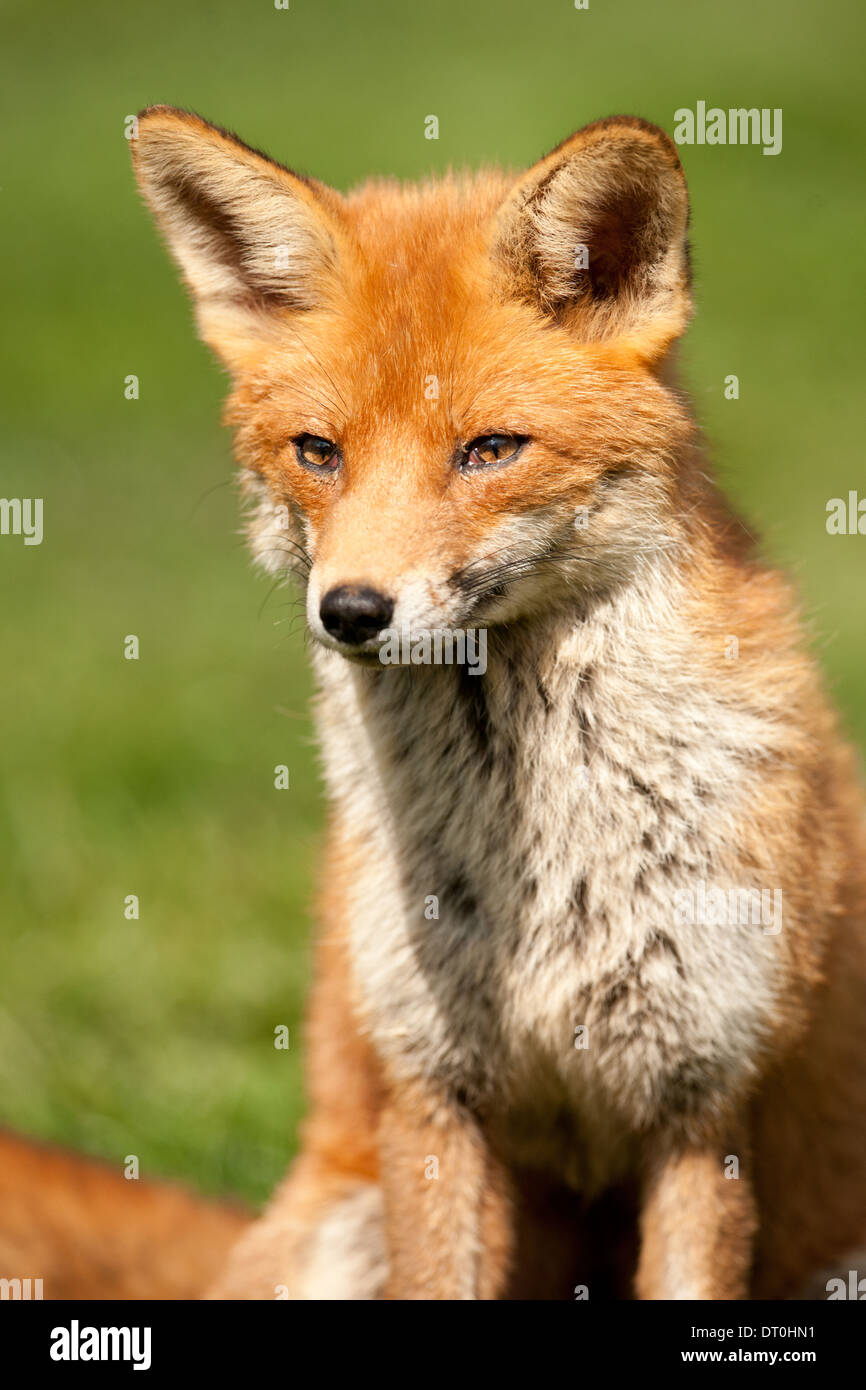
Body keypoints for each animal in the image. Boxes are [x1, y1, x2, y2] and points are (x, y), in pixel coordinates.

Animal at [3, 107, 865, 1301]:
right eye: (318, 451)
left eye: (489, 449)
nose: (351, 610)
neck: (542, 866)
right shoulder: (432, 1093)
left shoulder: (702, 1101)